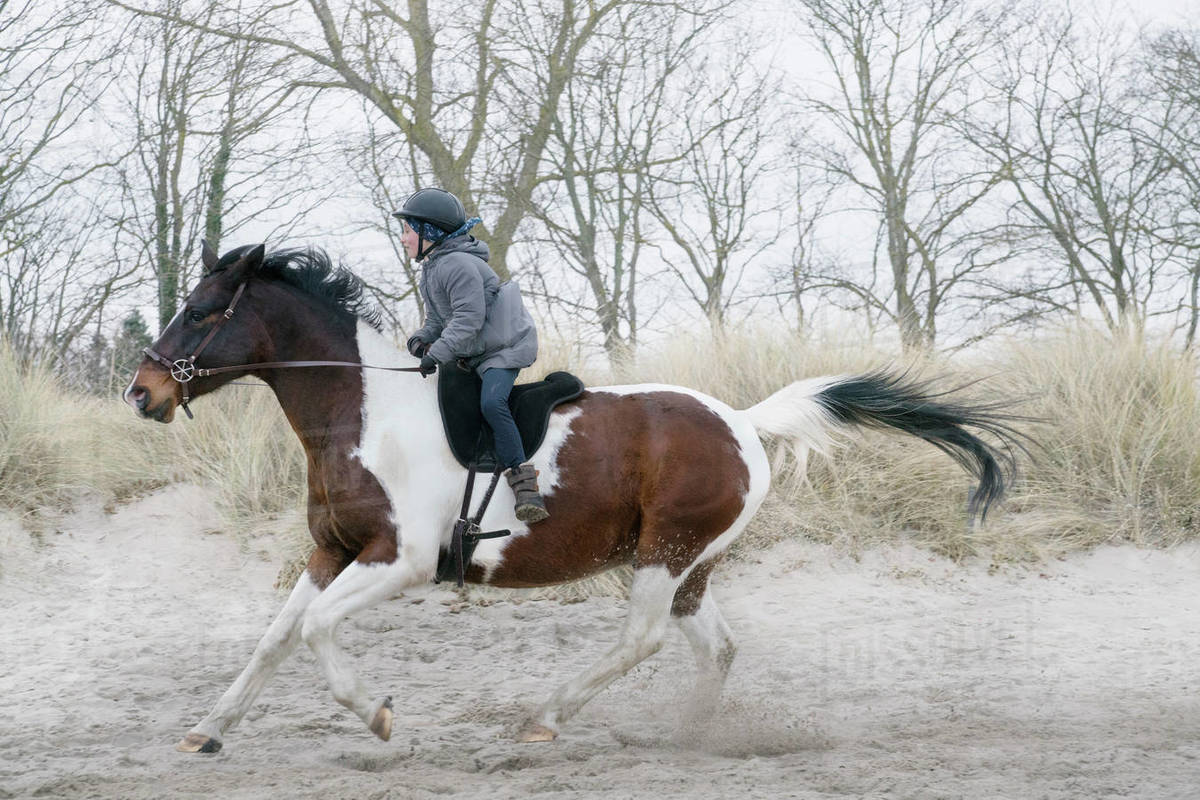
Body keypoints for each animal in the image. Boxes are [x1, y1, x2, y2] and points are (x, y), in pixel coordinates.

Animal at [124, 242, 1019, 754]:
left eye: (199, 311)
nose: (141, 393)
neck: (360, 412)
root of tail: (744, 421)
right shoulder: (332, 550)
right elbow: (276, 639)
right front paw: (208, 730)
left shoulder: (399, 560)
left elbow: (313, 632)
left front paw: (377, 717)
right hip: (690, 565)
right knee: (715, 647)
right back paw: (691, 738)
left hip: (664, 553)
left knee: (642, 638)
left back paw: (547, 716)